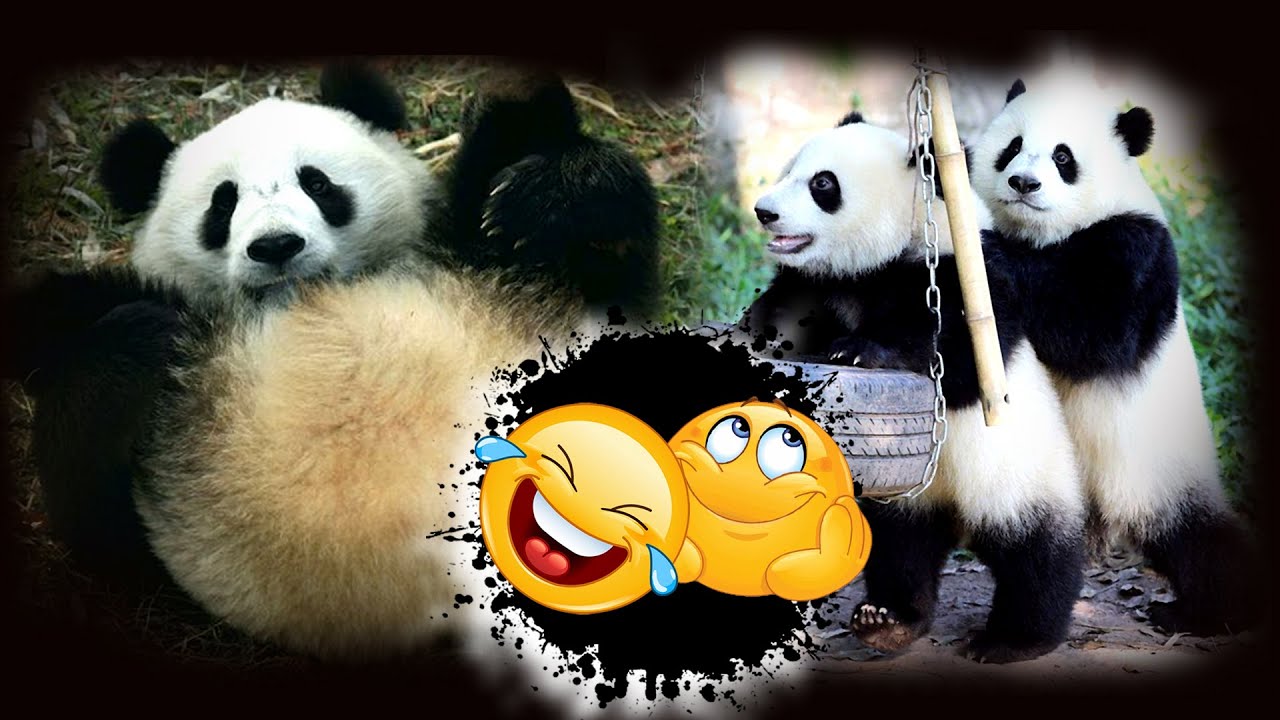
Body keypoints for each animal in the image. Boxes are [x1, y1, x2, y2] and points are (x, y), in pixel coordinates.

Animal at [7, 62, 660, 659]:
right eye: (222, 205)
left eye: (317, 184)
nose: (275, 245)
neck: (307, 308)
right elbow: (97, 531)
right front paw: (141, 328)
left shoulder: (514, 283)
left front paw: (548, 188)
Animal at [746, 112, 1085, 663]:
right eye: (789, 168)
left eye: (823, 184)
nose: (764, 211)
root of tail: (959, 515)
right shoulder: (819, 285)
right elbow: (780, 316)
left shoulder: (968, 278)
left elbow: (960, 352)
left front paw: (858, 350)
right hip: (902, 496)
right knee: (900, 546)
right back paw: (889, 620)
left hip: (1024, 474)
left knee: (1035, 552)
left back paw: (1015, 638)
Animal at [970, 74, 1261, 635]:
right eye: (1012, 146)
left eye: (1063, 157)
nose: (1023, 184)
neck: (1048, 233)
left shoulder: (1138, 246)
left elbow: (1099, 334)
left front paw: (988, 251)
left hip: (1157, 470)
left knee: (1198, 541)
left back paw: (1202, 612)